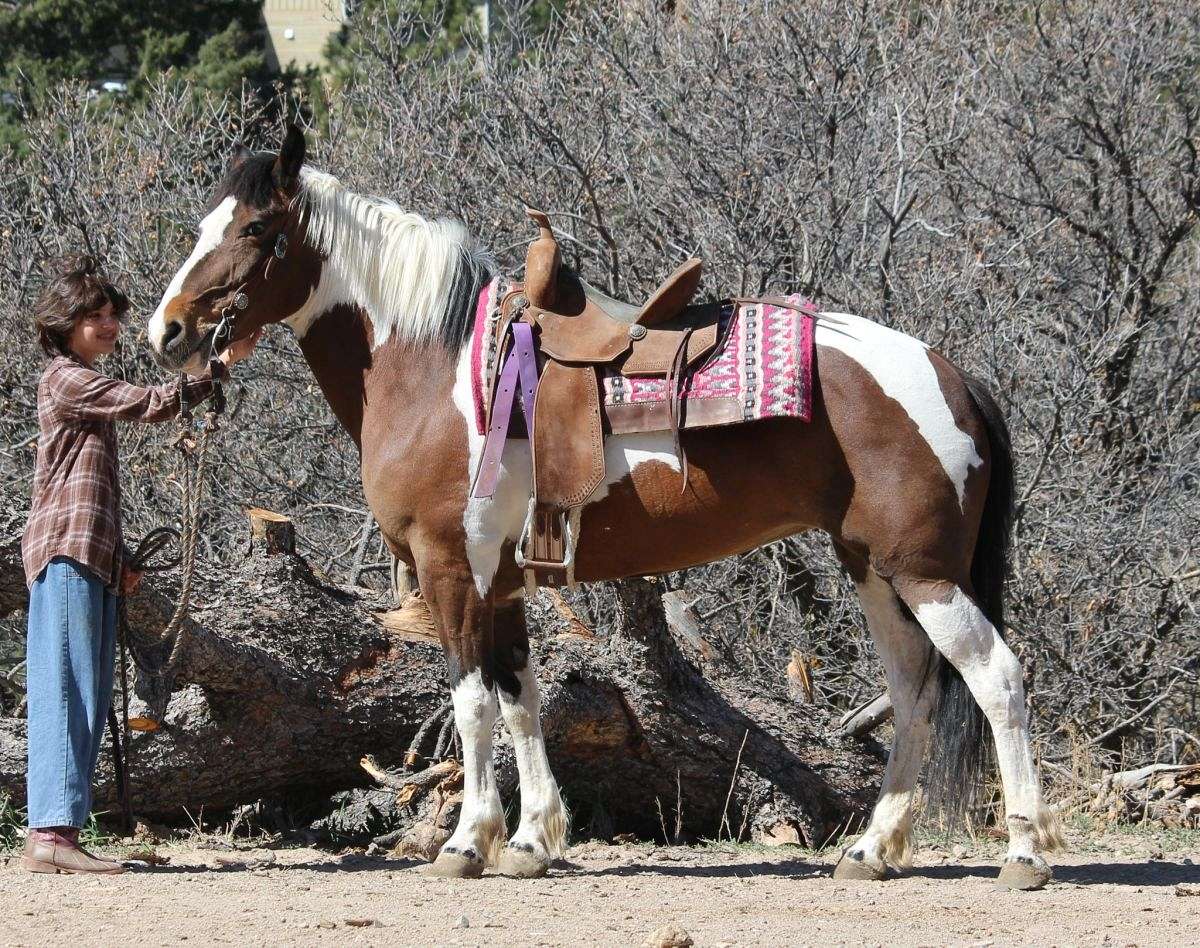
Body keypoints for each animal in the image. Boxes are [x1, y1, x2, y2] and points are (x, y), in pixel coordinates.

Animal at [147, 126, 1064, 888]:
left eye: (254, 231)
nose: (168, 331)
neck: (435, 369)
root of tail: (951, 374)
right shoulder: (501, 583)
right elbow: (521, 697)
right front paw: (528, 840)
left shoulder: (451, 572)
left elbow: (472, 702)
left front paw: (464, 843)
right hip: (874, 569)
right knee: (914, 692)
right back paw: (872, 851)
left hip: (925, 573)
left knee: (996, 678)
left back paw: (1024, 854)